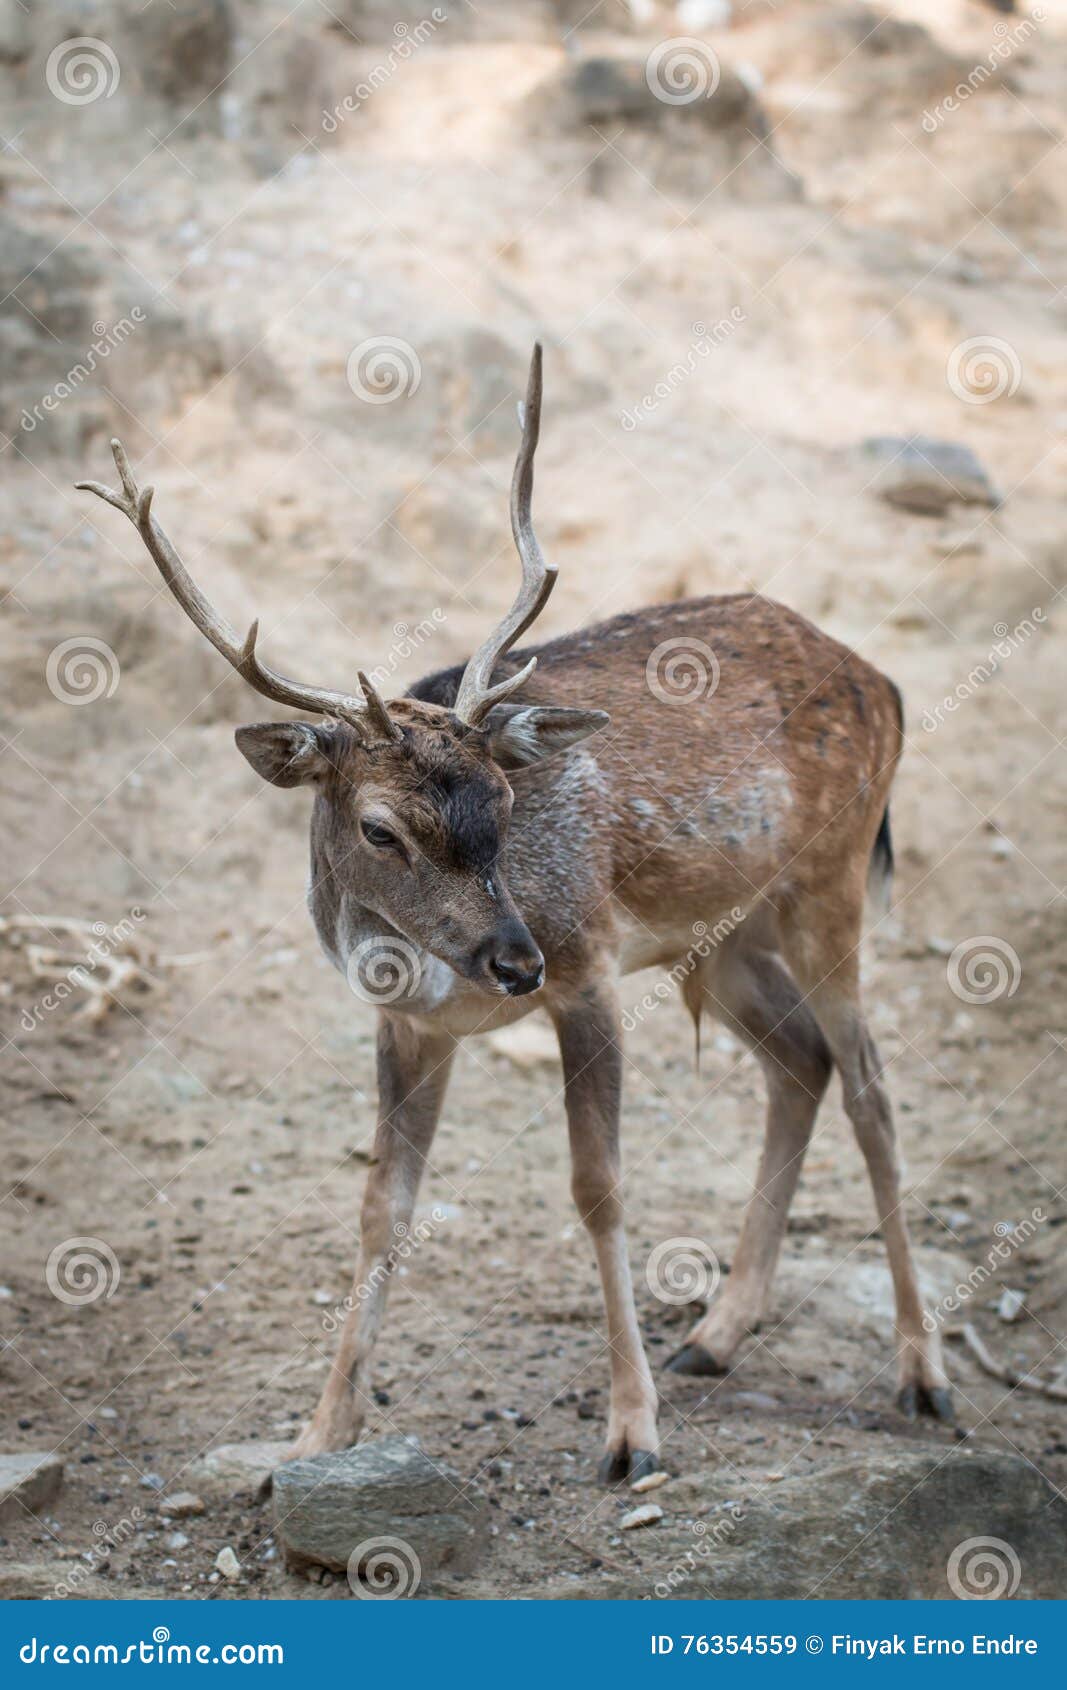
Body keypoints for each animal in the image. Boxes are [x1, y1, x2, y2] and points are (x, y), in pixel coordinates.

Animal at [77, 343, 952, 1485]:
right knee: (799, 1063)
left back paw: (922, 1374)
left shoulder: (589, 965)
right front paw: (317, 1432)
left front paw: (630, 1433)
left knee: (872, 1087)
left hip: (832, 876)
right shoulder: (406, 1024)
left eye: (501, 799)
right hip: (720, 935)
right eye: (378, 828)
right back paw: (715, 1334)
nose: (512, 962)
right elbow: (381, 1205)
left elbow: (598, 1185)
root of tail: (882, 677)